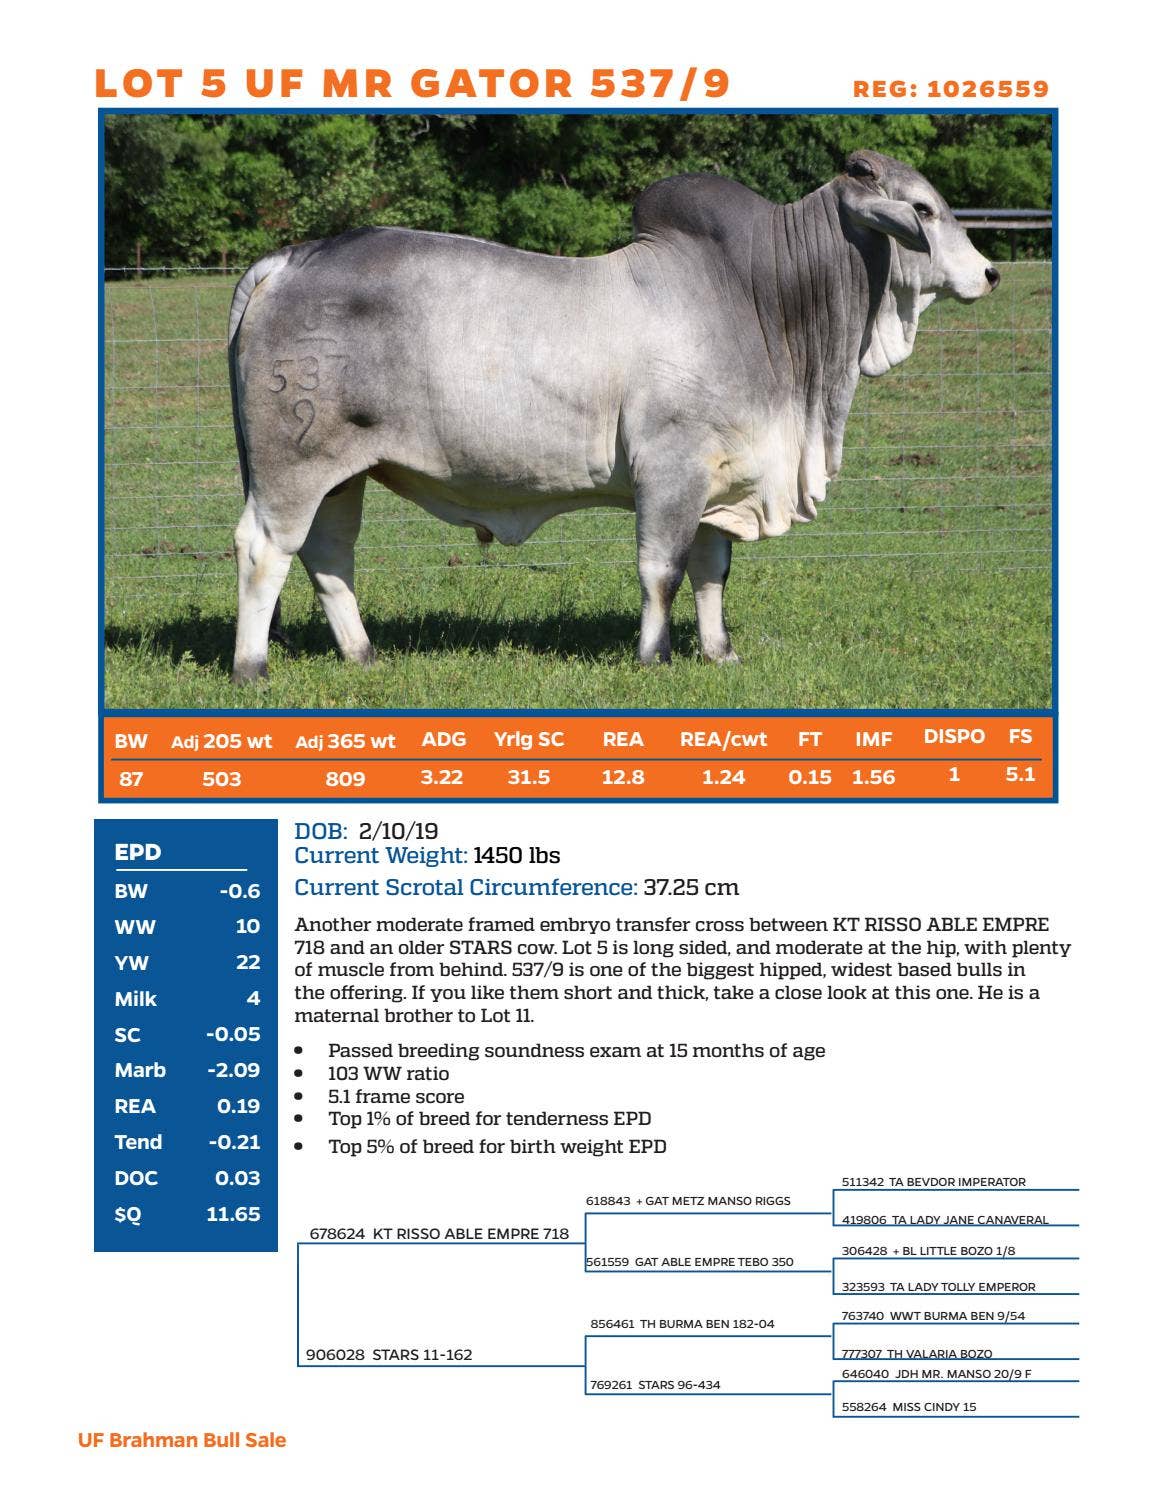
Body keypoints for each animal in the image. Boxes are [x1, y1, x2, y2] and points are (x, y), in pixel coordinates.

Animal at [227, 150, 998, 681]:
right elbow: (662, 569)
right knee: (264, 548)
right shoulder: (671, 470)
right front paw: (654, 655)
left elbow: (712, 571)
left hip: (344, 472)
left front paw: (718, 652)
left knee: (329, 555)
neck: (760, 298)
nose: (990, 272)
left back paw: (364, 655)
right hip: (292, 464)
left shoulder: (720, 479)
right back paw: (251, 667)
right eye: (924, 211)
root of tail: (289, 259)